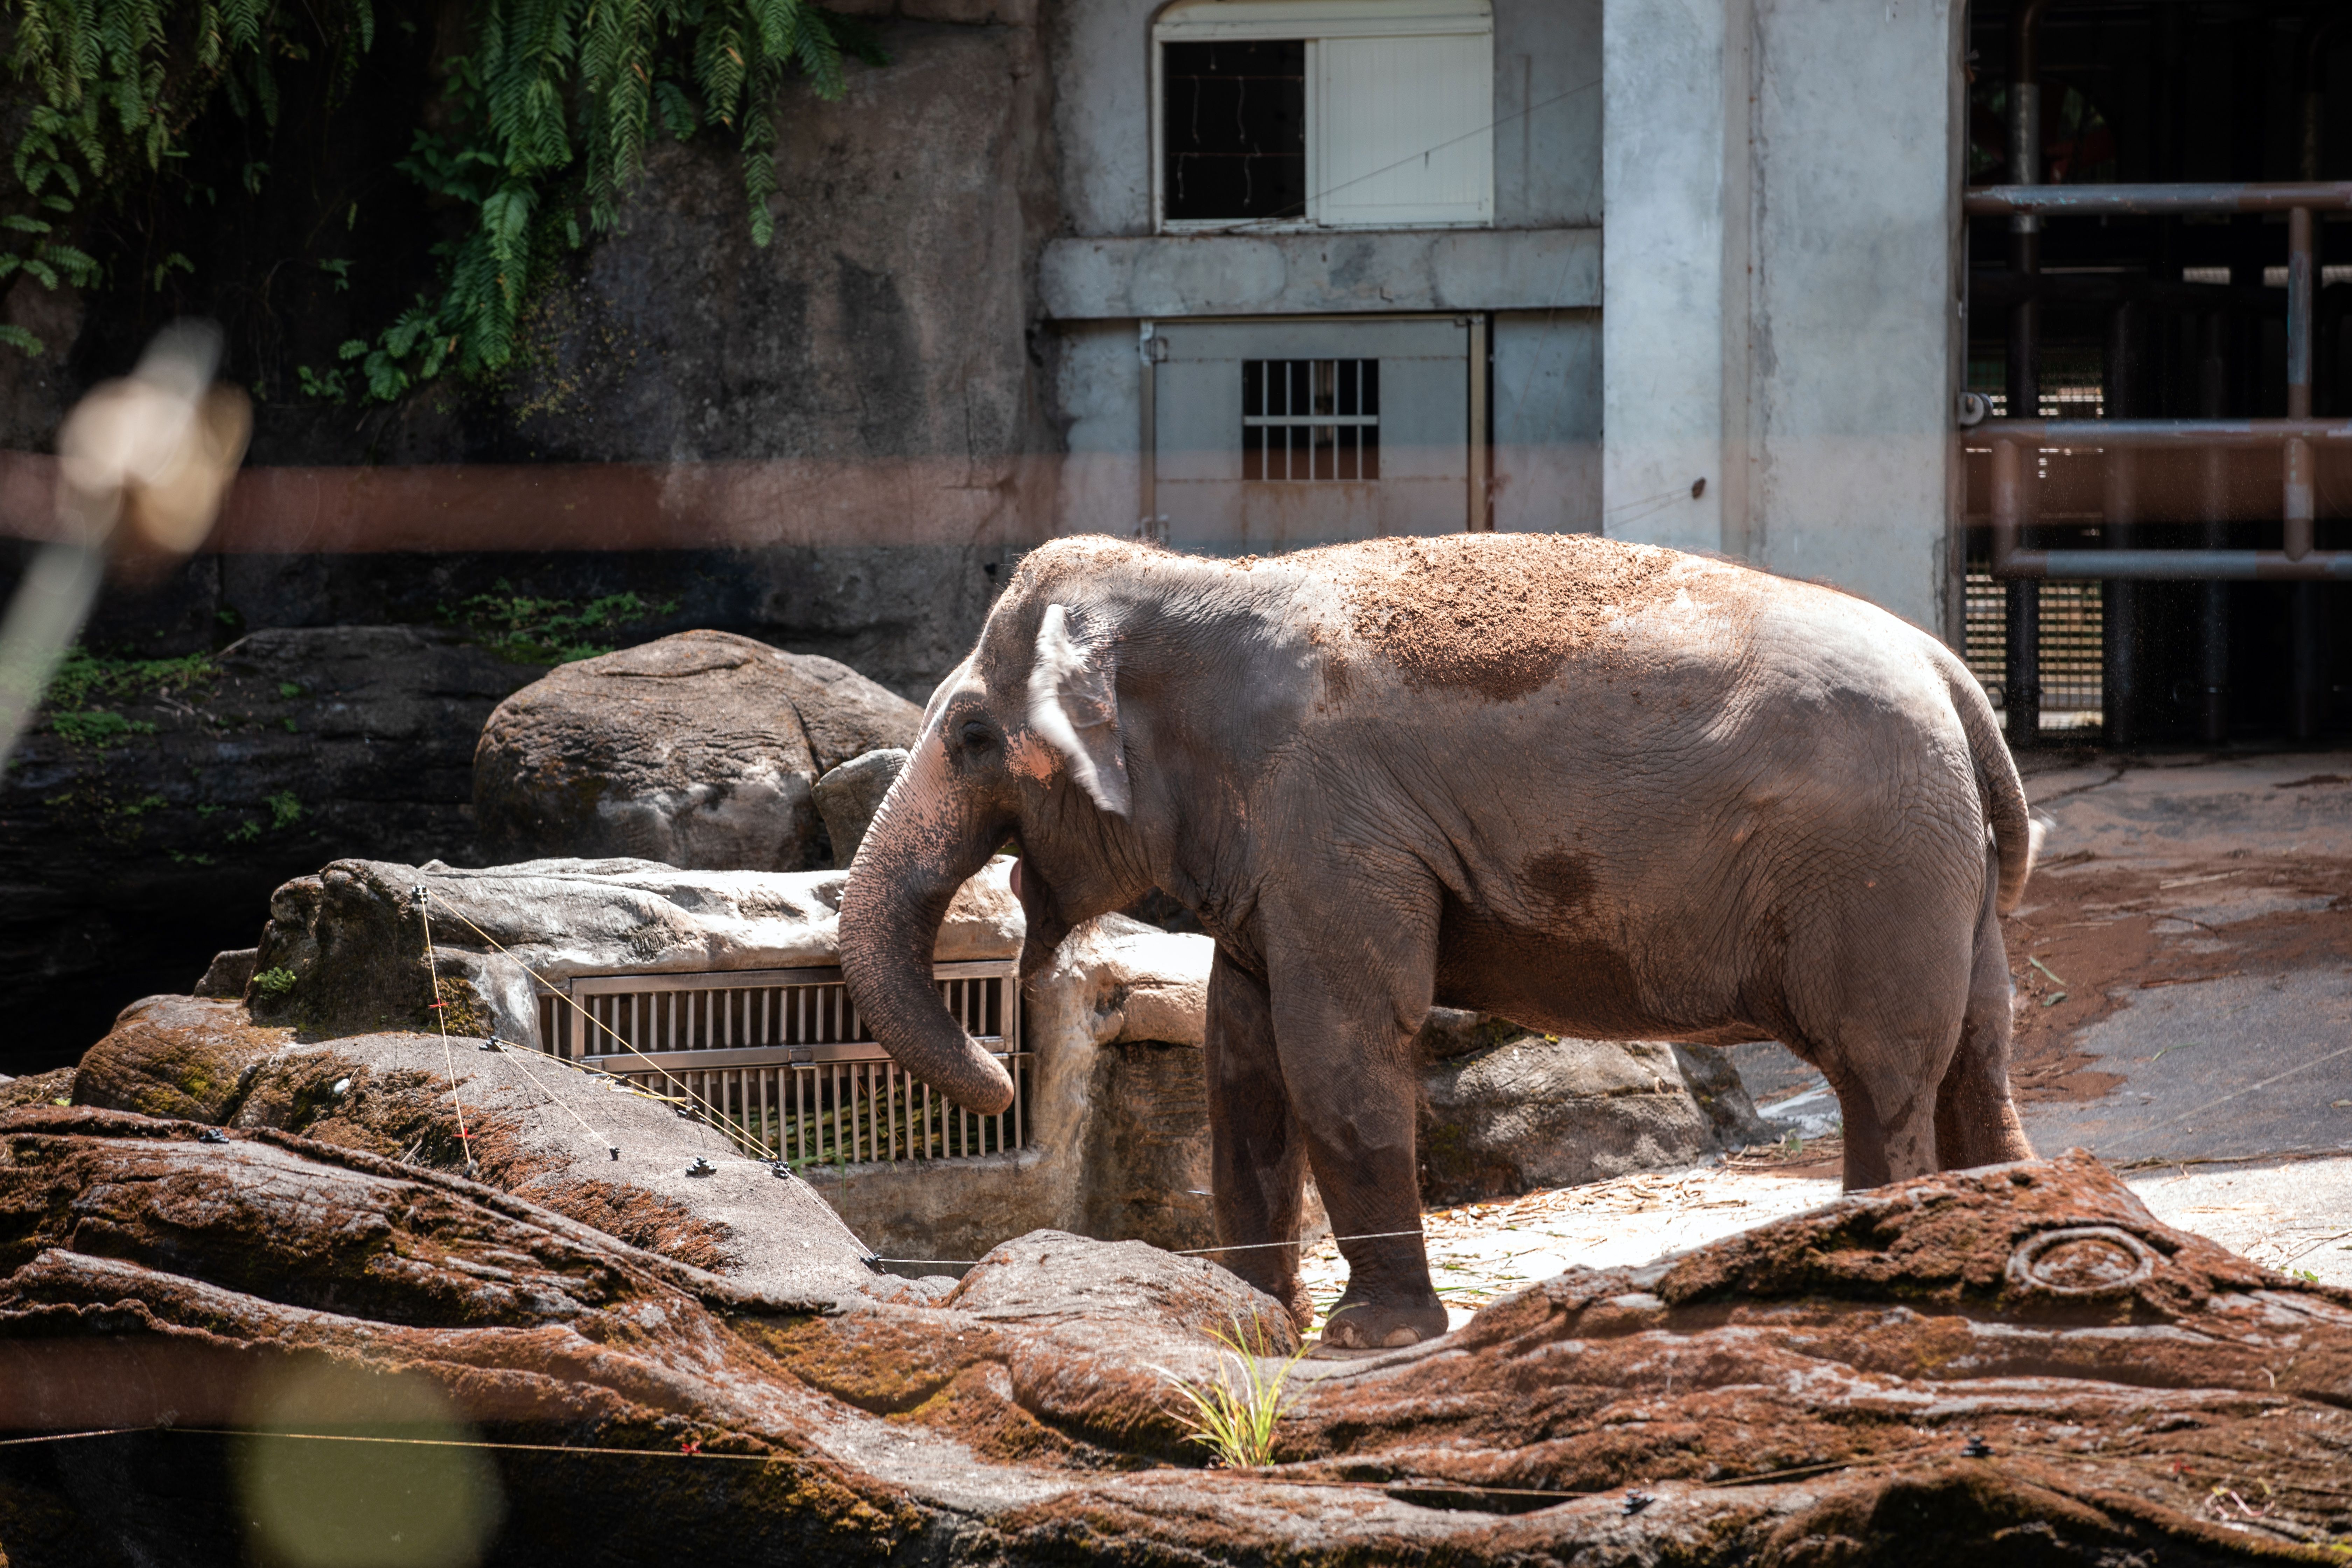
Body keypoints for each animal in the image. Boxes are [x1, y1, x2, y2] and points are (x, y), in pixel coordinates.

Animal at [839, 532, 2039, 1350]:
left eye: (973, 736)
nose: (1002, 1071)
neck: (1196, 580)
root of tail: (1953, 675)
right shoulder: (1280, 849)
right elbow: (1241, 1055)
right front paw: (1248, 1317)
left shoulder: (1331, 815)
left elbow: (1338, 1038)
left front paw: (1367, 1338)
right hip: (1945, 867)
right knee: (1974, 1054)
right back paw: (1999, 1233)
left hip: (1877, 863)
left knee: (1882, 1065)